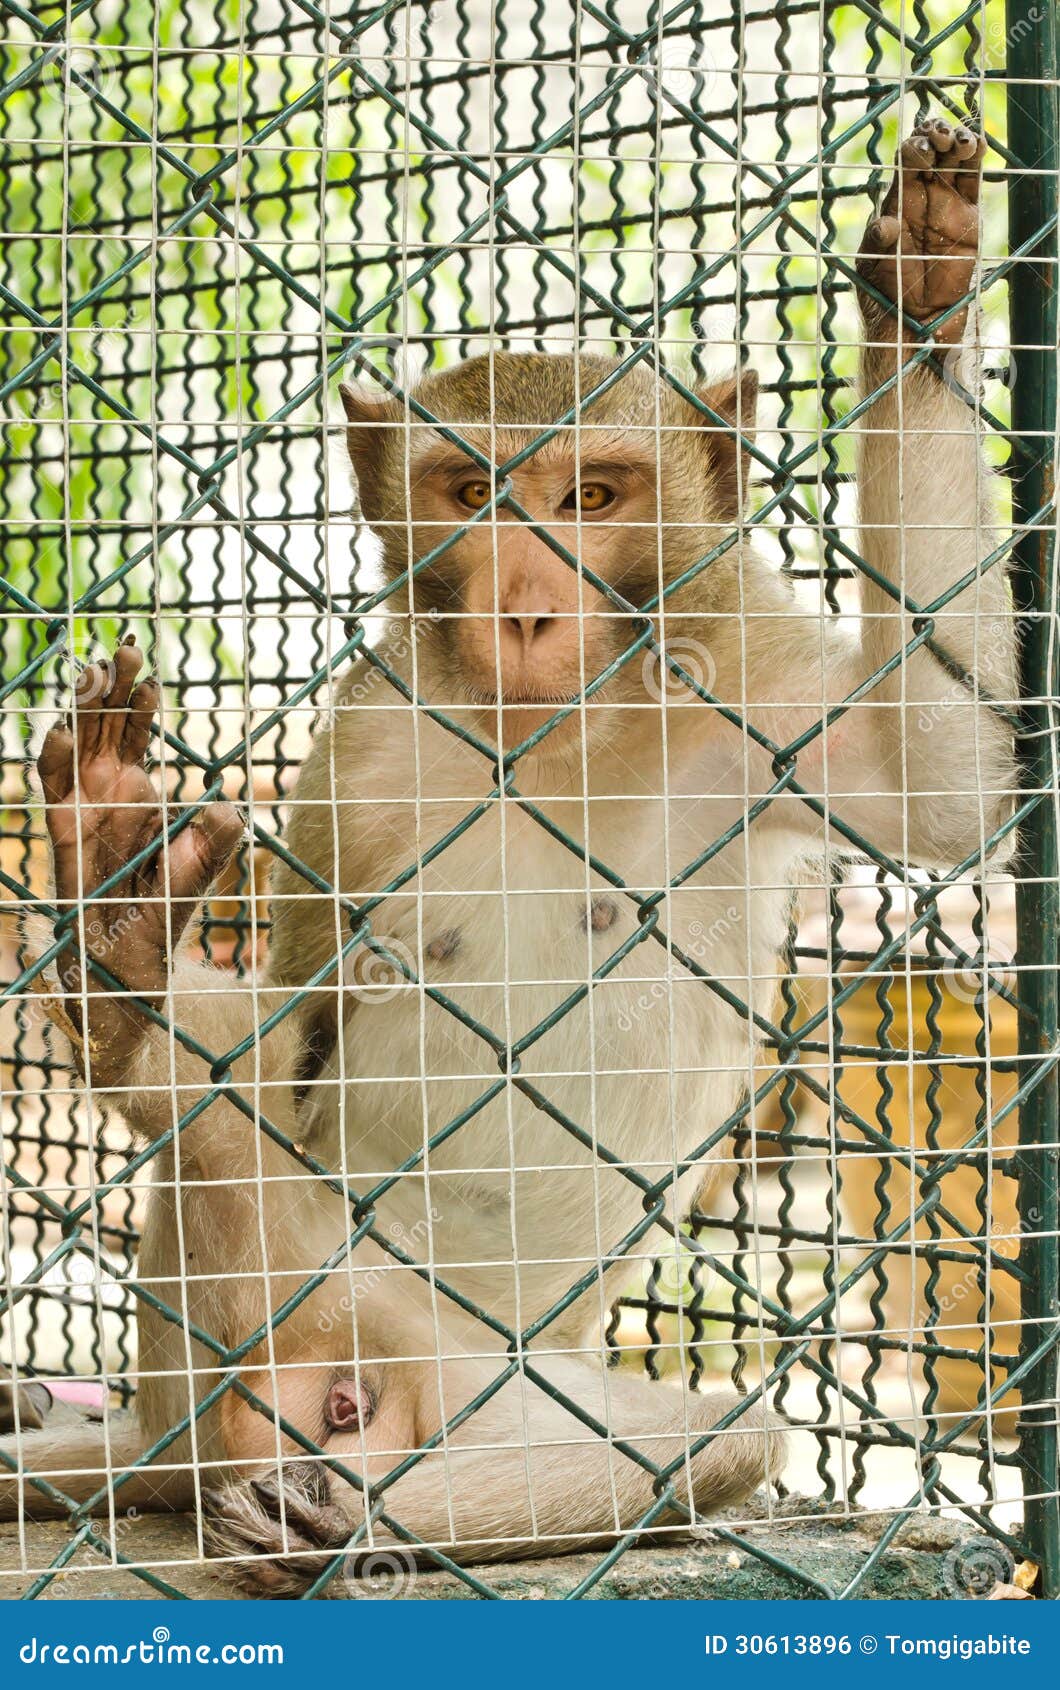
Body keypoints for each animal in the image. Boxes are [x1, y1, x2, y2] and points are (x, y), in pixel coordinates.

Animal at [2, 120, 1018, 1595]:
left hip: (507, 1389)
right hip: (276, 1308)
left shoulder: (746, 682)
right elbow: (289, 1031)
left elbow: (941, 783)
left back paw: (355, 1517)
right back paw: (132, 988)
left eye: (588, 495)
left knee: (712, 1442)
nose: (526, 601)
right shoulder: (356, 759)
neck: (540, 738)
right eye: (474, 493)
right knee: (223, 1137)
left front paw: (921, 300)